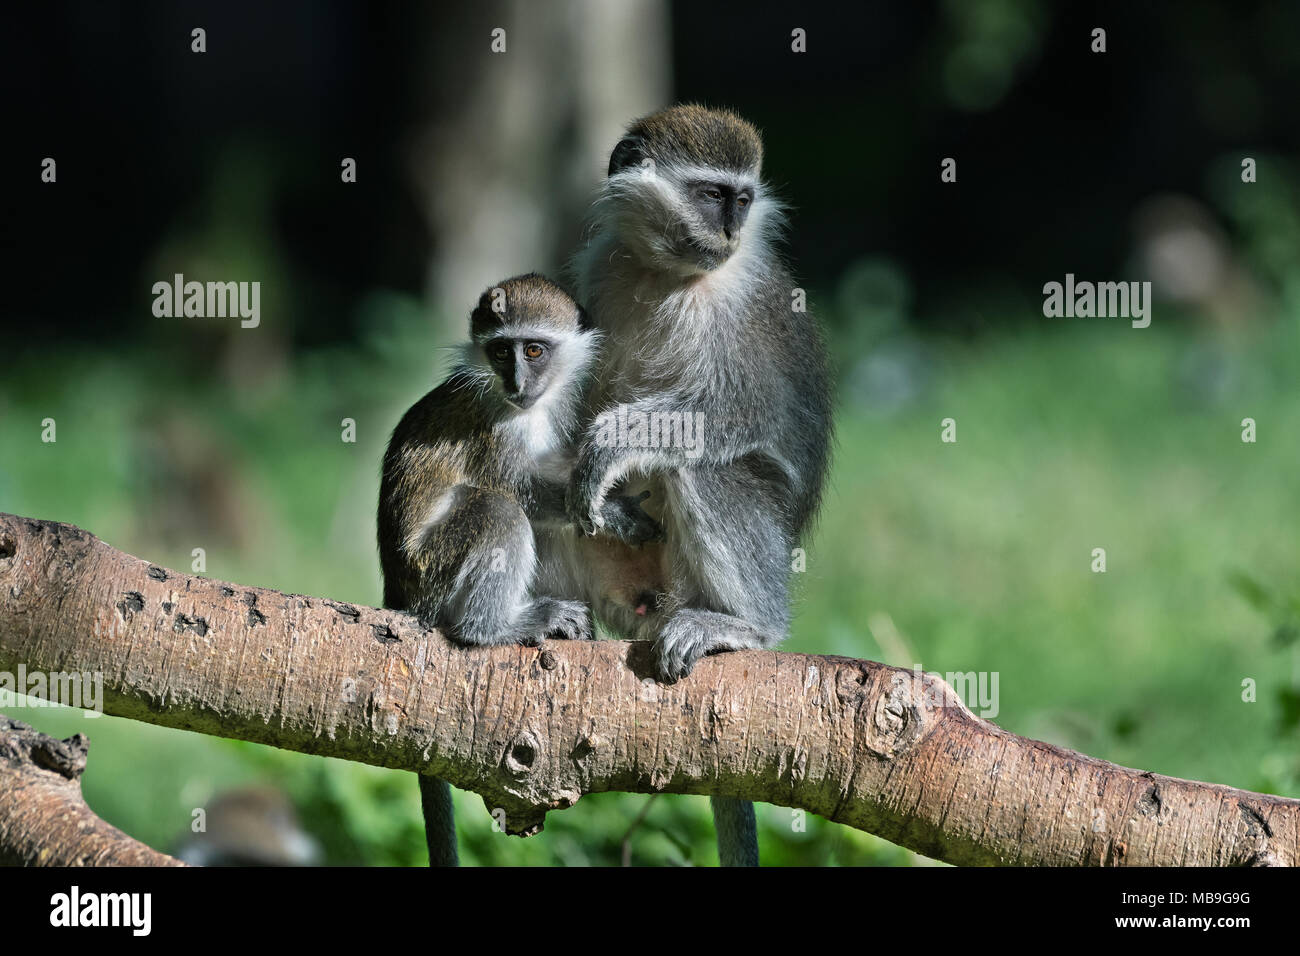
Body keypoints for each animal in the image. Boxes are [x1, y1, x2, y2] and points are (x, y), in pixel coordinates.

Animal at [377, 273, 662, 866]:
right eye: (500, 351)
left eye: (533, 350)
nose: (517, 382)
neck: (521, 406)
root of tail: (397, 589)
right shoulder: (496, 428)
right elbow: (521, 491)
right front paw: (614, 512)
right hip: (433, 571)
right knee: (497, 510)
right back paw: (495, 626)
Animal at [565, 105, 834, 866]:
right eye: (713, 194)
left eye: (742, 199)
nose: (731, 229)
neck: (665, 271)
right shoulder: (599, 269)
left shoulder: (730, 305)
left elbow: (741, 413)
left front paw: (612, 444)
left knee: (703, 468)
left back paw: (749, 625)